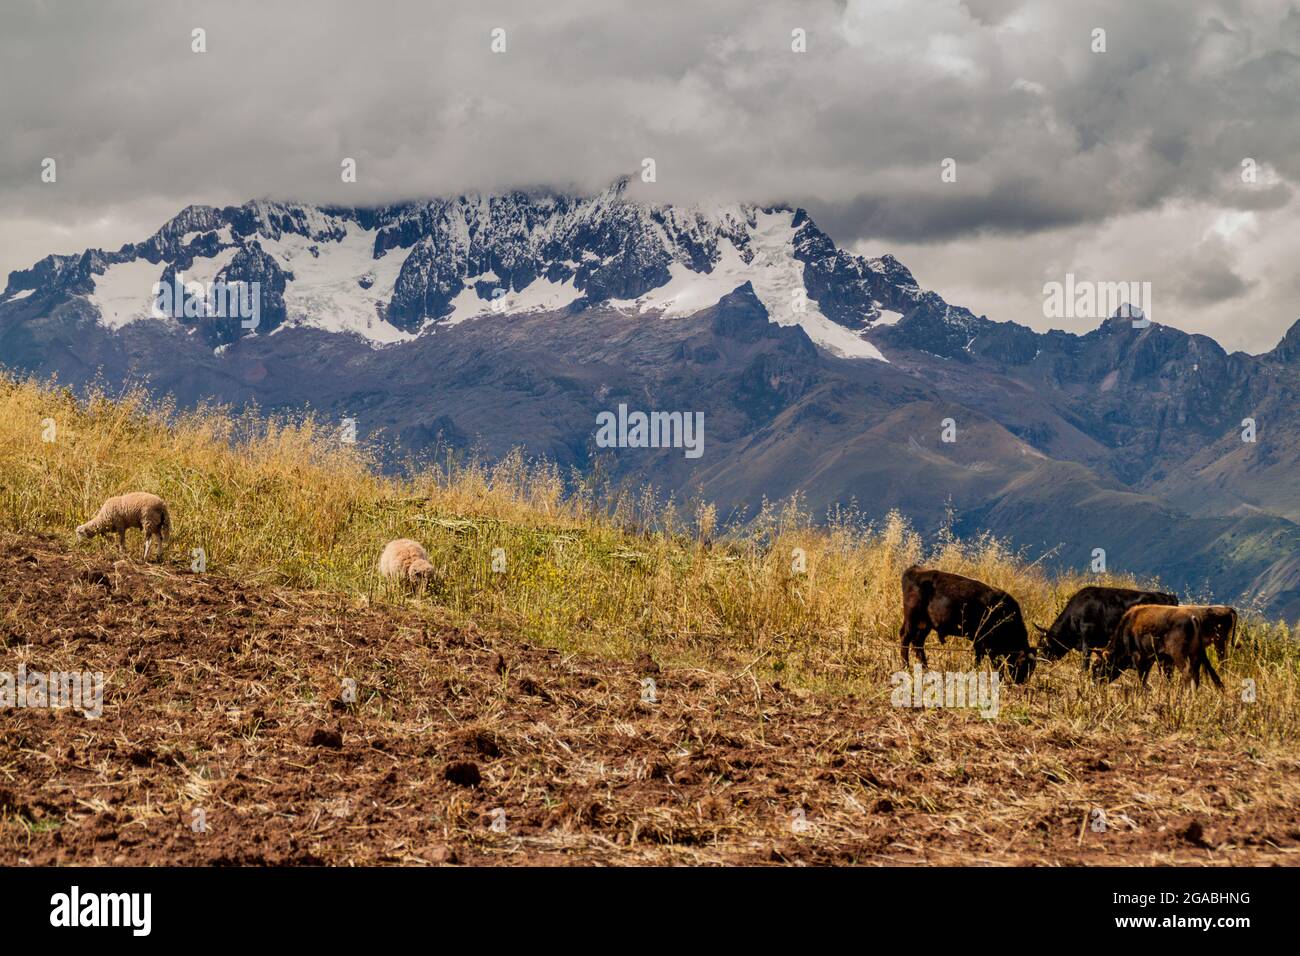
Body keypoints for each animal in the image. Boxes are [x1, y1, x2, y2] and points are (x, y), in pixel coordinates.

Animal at [895, 566, 1036, 683]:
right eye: (1024, 664)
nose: (1020, 682)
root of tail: (915, 570)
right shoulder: (986, 644)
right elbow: (993, 663)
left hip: (925, 624)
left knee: (918, 643)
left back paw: (926, 669)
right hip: (912, 619)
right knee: (905, 639)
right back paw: (906, 668)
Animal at [1090, 604, 1222, 689]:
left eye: (1097, 666)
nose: (1094, 684)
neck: (1127, 629)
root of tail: (1193, 618)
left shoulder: (1140, 659)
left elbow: (1142, 679)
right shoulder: (1157, 660)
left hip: (1178, 654)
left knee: (1187, 672)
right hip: (1195, 653)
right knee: (1195, 674)